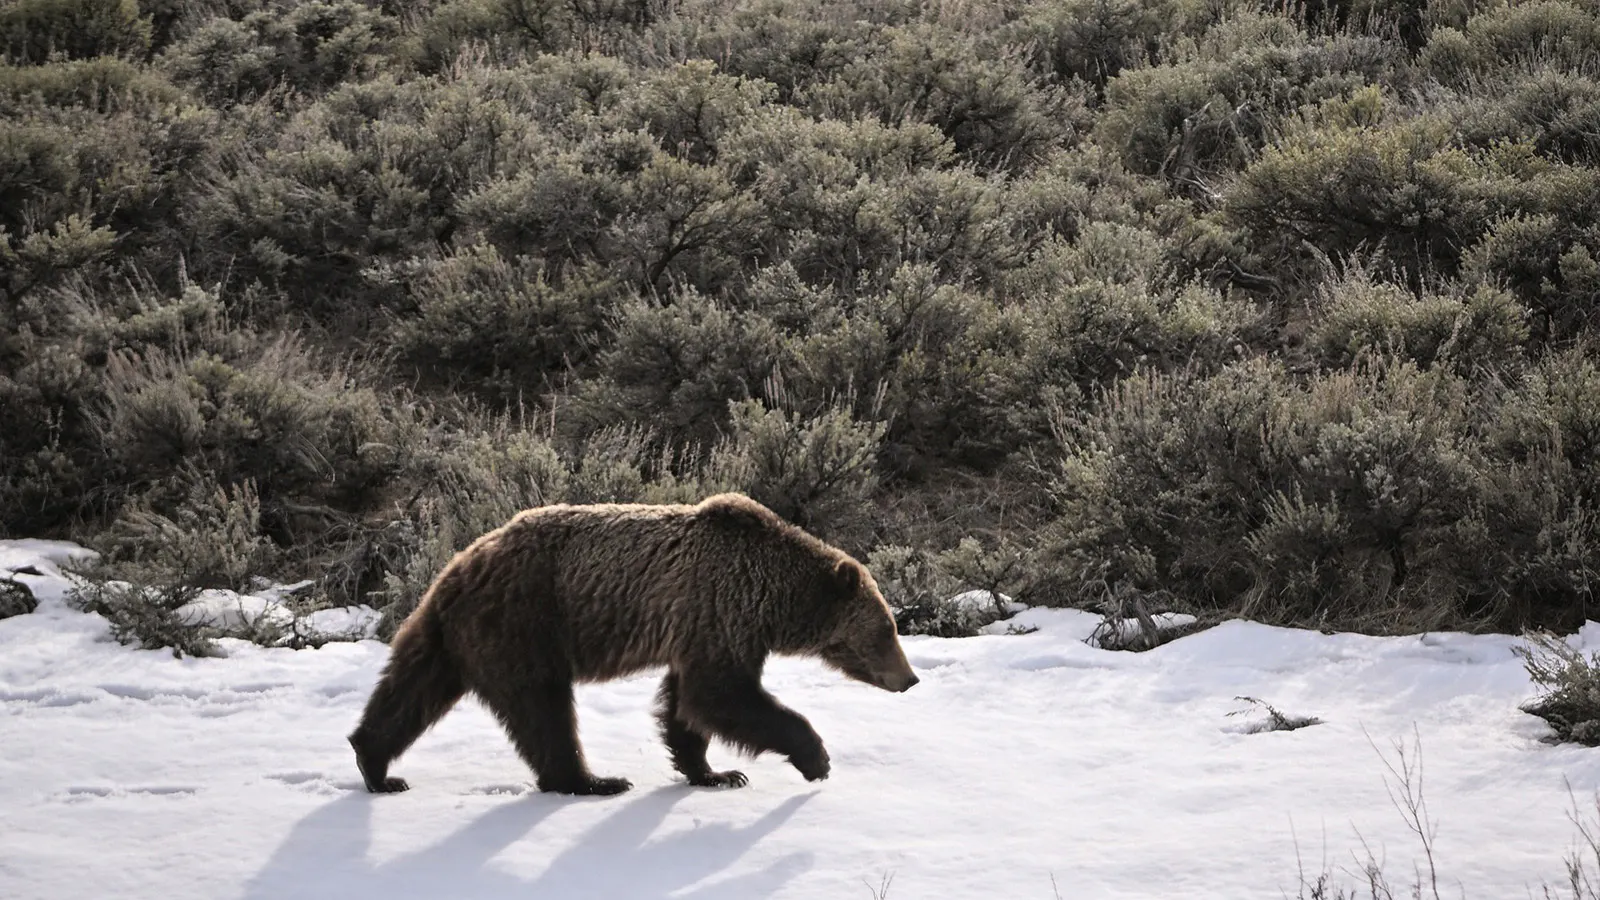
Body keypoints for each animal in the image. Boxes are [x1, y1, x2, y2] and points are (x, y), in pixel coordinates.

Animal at [347, 492, 919, 796]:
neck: (770, 597)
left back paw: (376, 766)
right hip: (525, 624)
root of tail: (458, 566)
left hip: (451, 635)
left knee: (410, 690)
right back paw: (592, 780)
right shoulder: (719, 610)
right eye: (888, 629)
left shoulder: (696, 628)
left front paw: (715, 772)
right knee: (544, 711)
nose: (910, 678)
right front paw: (815, 758)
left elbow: (686, 704)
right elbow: (723, 696)